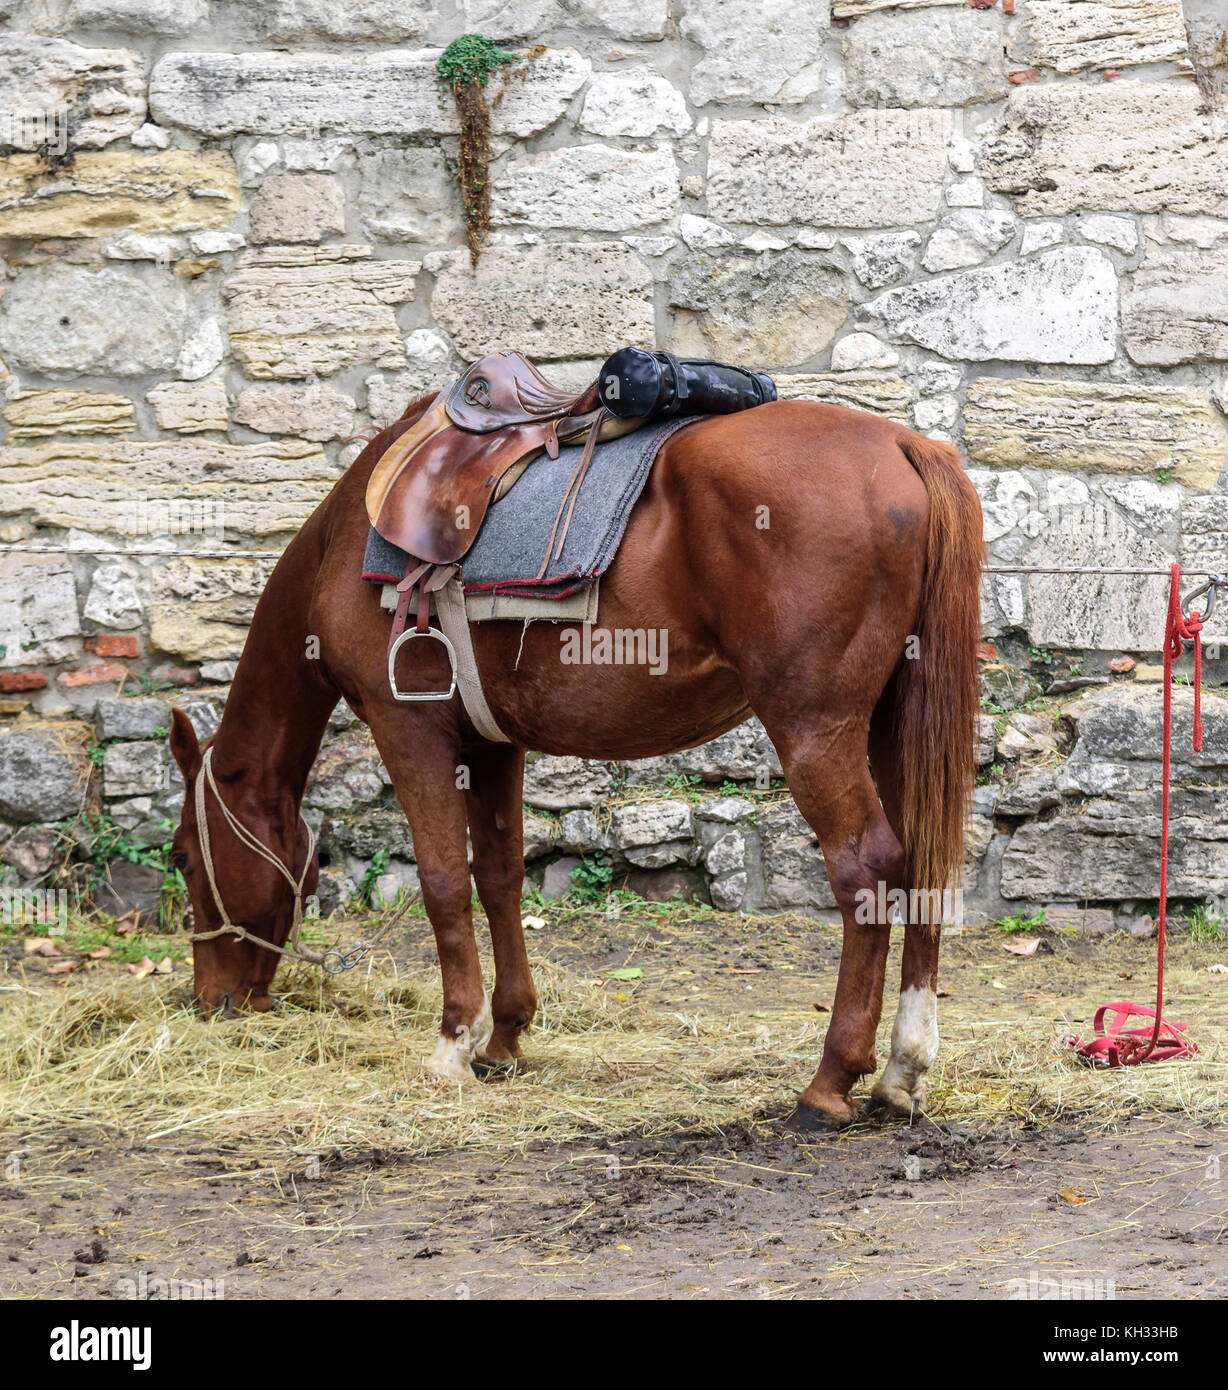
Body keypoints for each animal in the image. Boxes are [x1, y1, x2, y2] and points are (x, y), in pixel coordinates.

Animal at [167, 395, 984, 1126]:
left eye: (182, 858)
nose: (211, 1000)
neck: (340, 544)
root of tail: (904, 446)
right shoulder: (493, 745)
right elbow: (498, 878)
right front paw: (504, 1038)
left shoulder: (411, 729)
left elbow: (442, 883)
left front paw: (453, 1043)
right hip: (890, 724)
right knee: (920, 861)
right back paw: (902, 1069)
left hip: (815, 729)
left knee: (865, 868)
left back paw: (829, 1082)